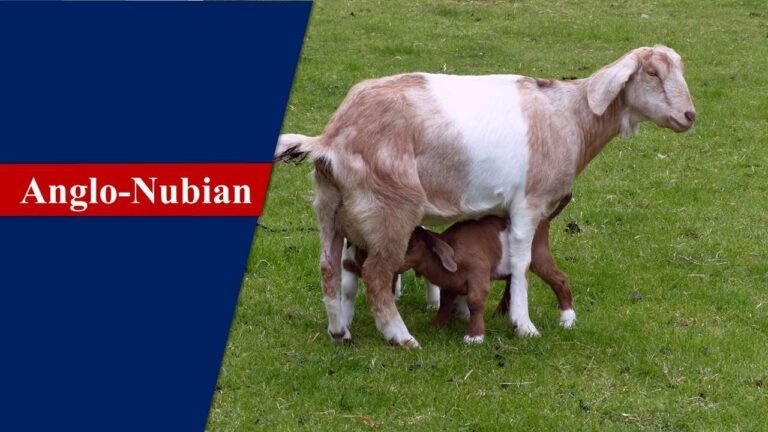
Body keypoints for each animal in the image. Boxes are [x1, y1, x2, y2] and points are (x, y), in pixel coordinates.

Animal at [275, 45, 695, 347]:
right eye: (652, 73)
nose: (689, 116)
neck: (571, 118)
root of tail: (330, 139)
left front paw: (462, 310)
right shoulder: (528, 202)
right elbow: (523, 261)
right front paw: (523, 325)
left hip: (335, 209)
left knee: (331, 269)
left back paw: (340, 331)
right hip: (390, 206)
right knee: (376, 275)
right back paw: (401, 337)